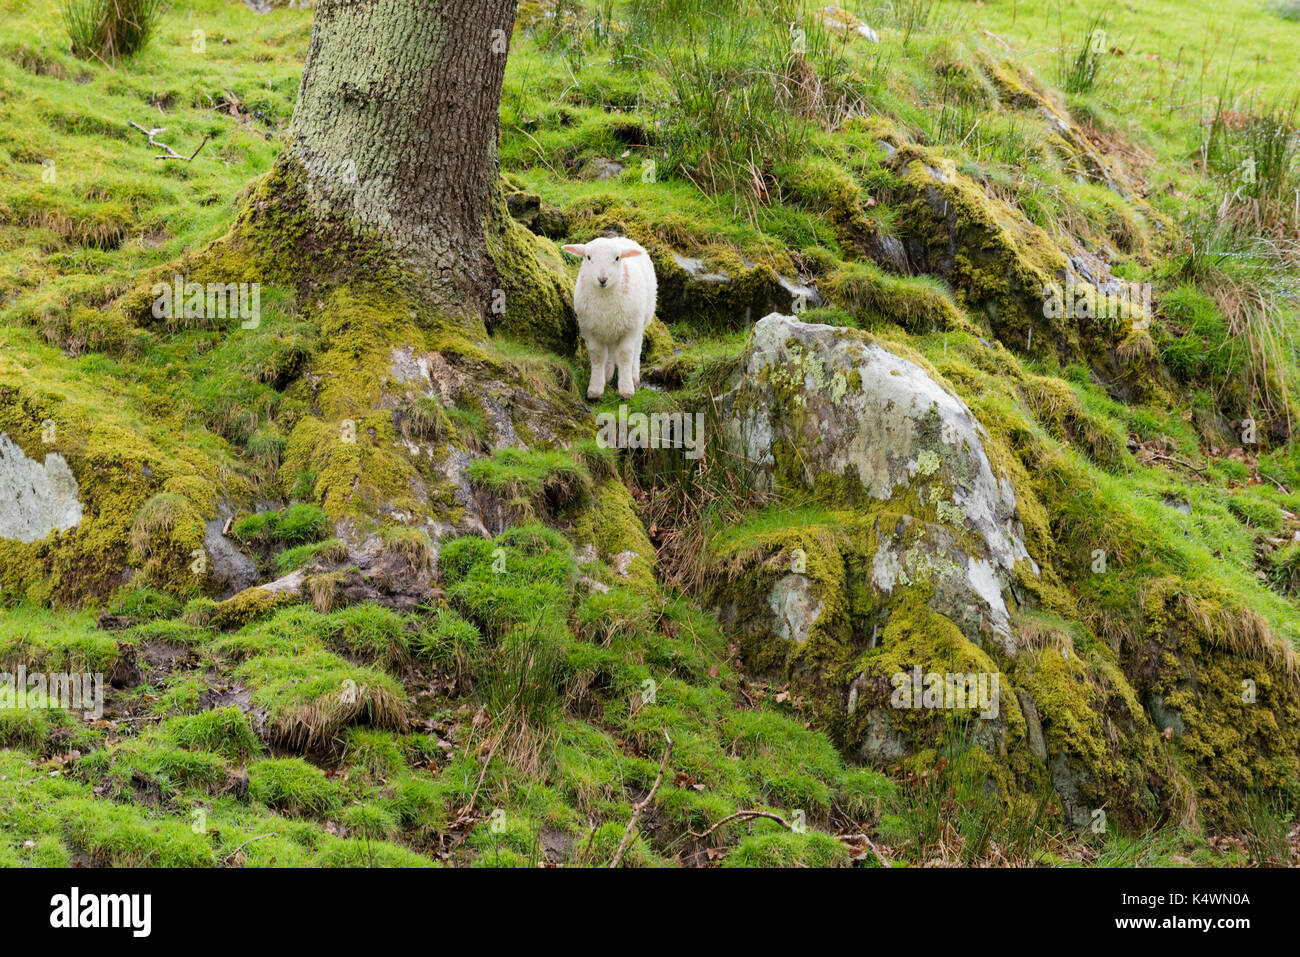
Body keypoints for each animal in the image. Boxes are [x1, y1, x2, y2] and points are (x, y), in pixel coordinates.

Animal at [561, 236, 657, 401]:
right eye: (588, 257)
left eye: (617, 258)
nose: (602, 279)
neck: (605, 298)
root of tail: (622, 237)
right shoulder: (592, 330)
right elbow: (598, 356)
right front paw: (595, 389)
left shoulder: (630, 328)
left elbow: (625, 355)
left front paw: (626, 390)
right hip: (610, 329)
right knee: (610, 351)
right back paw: (607, 374)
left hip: (641, 321)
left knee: (636, 350)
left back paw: (634, 376)